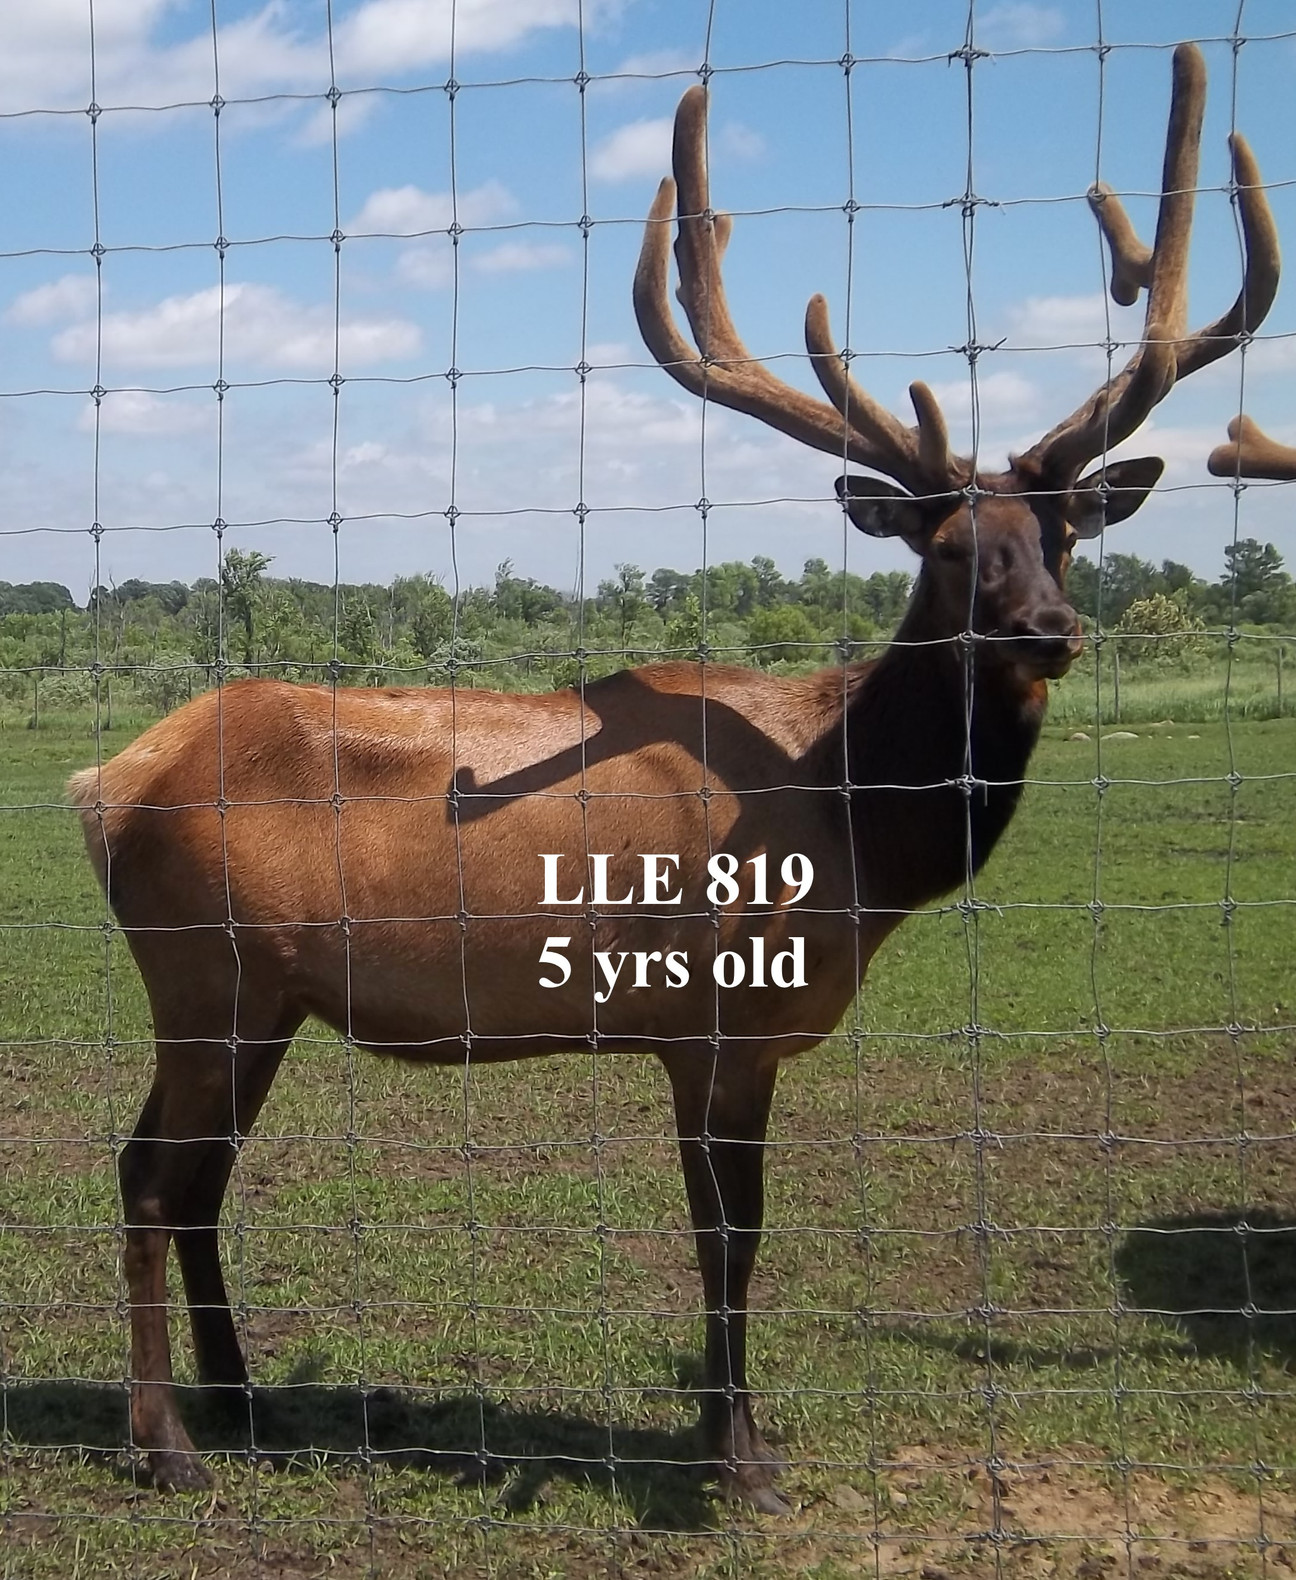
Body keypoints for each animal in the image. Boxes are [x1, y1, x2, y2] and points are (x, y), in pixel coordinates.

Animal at [69, 46, 1277, 1514]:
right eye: (946, 549)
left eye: (1061, 536)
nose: (1048, 629)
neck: (857, 827)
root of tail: (105, 782)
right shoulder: (721, 1018)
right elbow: (731, 1237)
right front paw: (738, 1458)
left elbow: (726, 1236)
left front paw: (724, 1434)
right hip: (205, 974)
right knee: (146, 1175)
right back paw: (165, 1445)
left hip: (260, 997)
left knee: (197, 1179)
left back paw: (242, 1401)